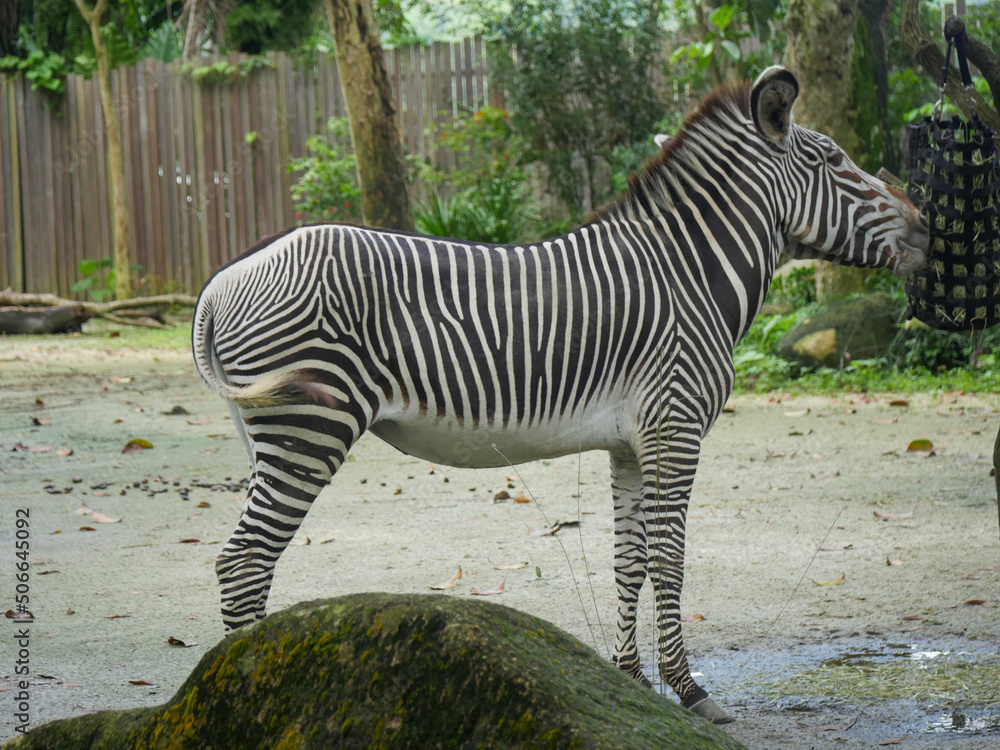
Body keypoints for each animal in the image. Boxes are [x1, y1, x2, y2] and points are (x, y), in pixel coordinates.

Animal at [192, 67, 928, 724]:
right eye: (835, 162)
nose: (926, 228)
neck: (689, 273)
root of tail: (224, 276)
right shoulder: (675, 427)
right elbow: (669, 558)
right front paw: (690, 692)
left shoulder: (632, 443)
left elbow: (630, 561)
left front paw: (632, 685)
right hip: (309, 425)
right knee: (243, 561)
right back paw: (240, 689)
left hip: (266, 433)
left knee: (246, 560)